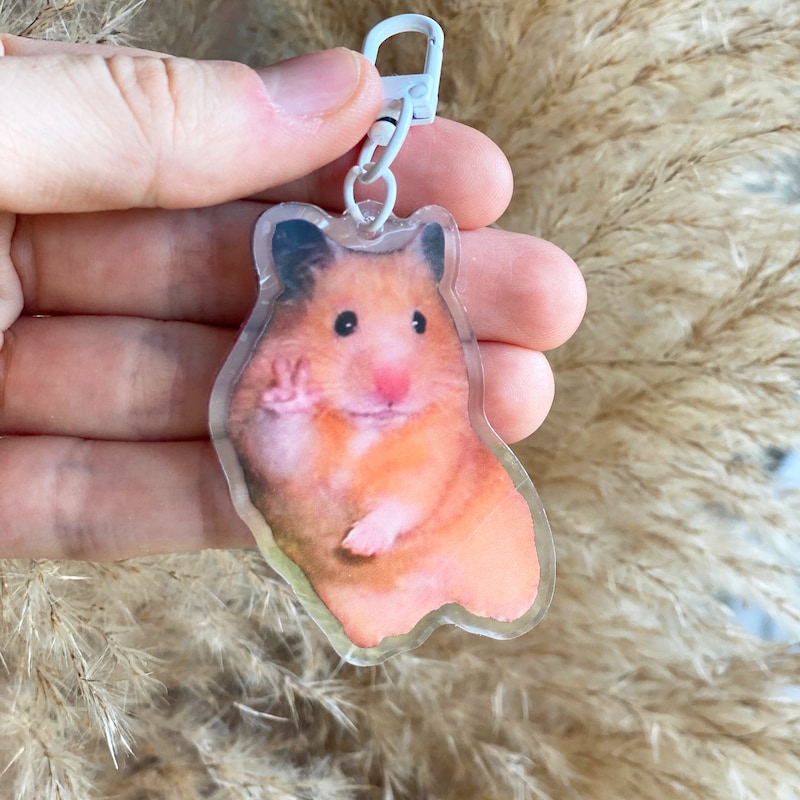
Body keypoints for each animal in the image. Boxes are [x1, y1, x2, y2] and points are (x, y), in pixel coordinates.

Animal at [227, 218, 539, 649]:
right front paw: (292, 389)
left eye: (420, 322)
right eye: (344, 323)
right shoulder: (268, 454)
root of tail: (442, 608)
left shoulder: (434, 458)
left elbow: (402, 502)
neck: (367, 430)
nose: (394, 390)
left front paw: (359, 544)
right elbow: (283, 440)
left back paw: (508, 611)